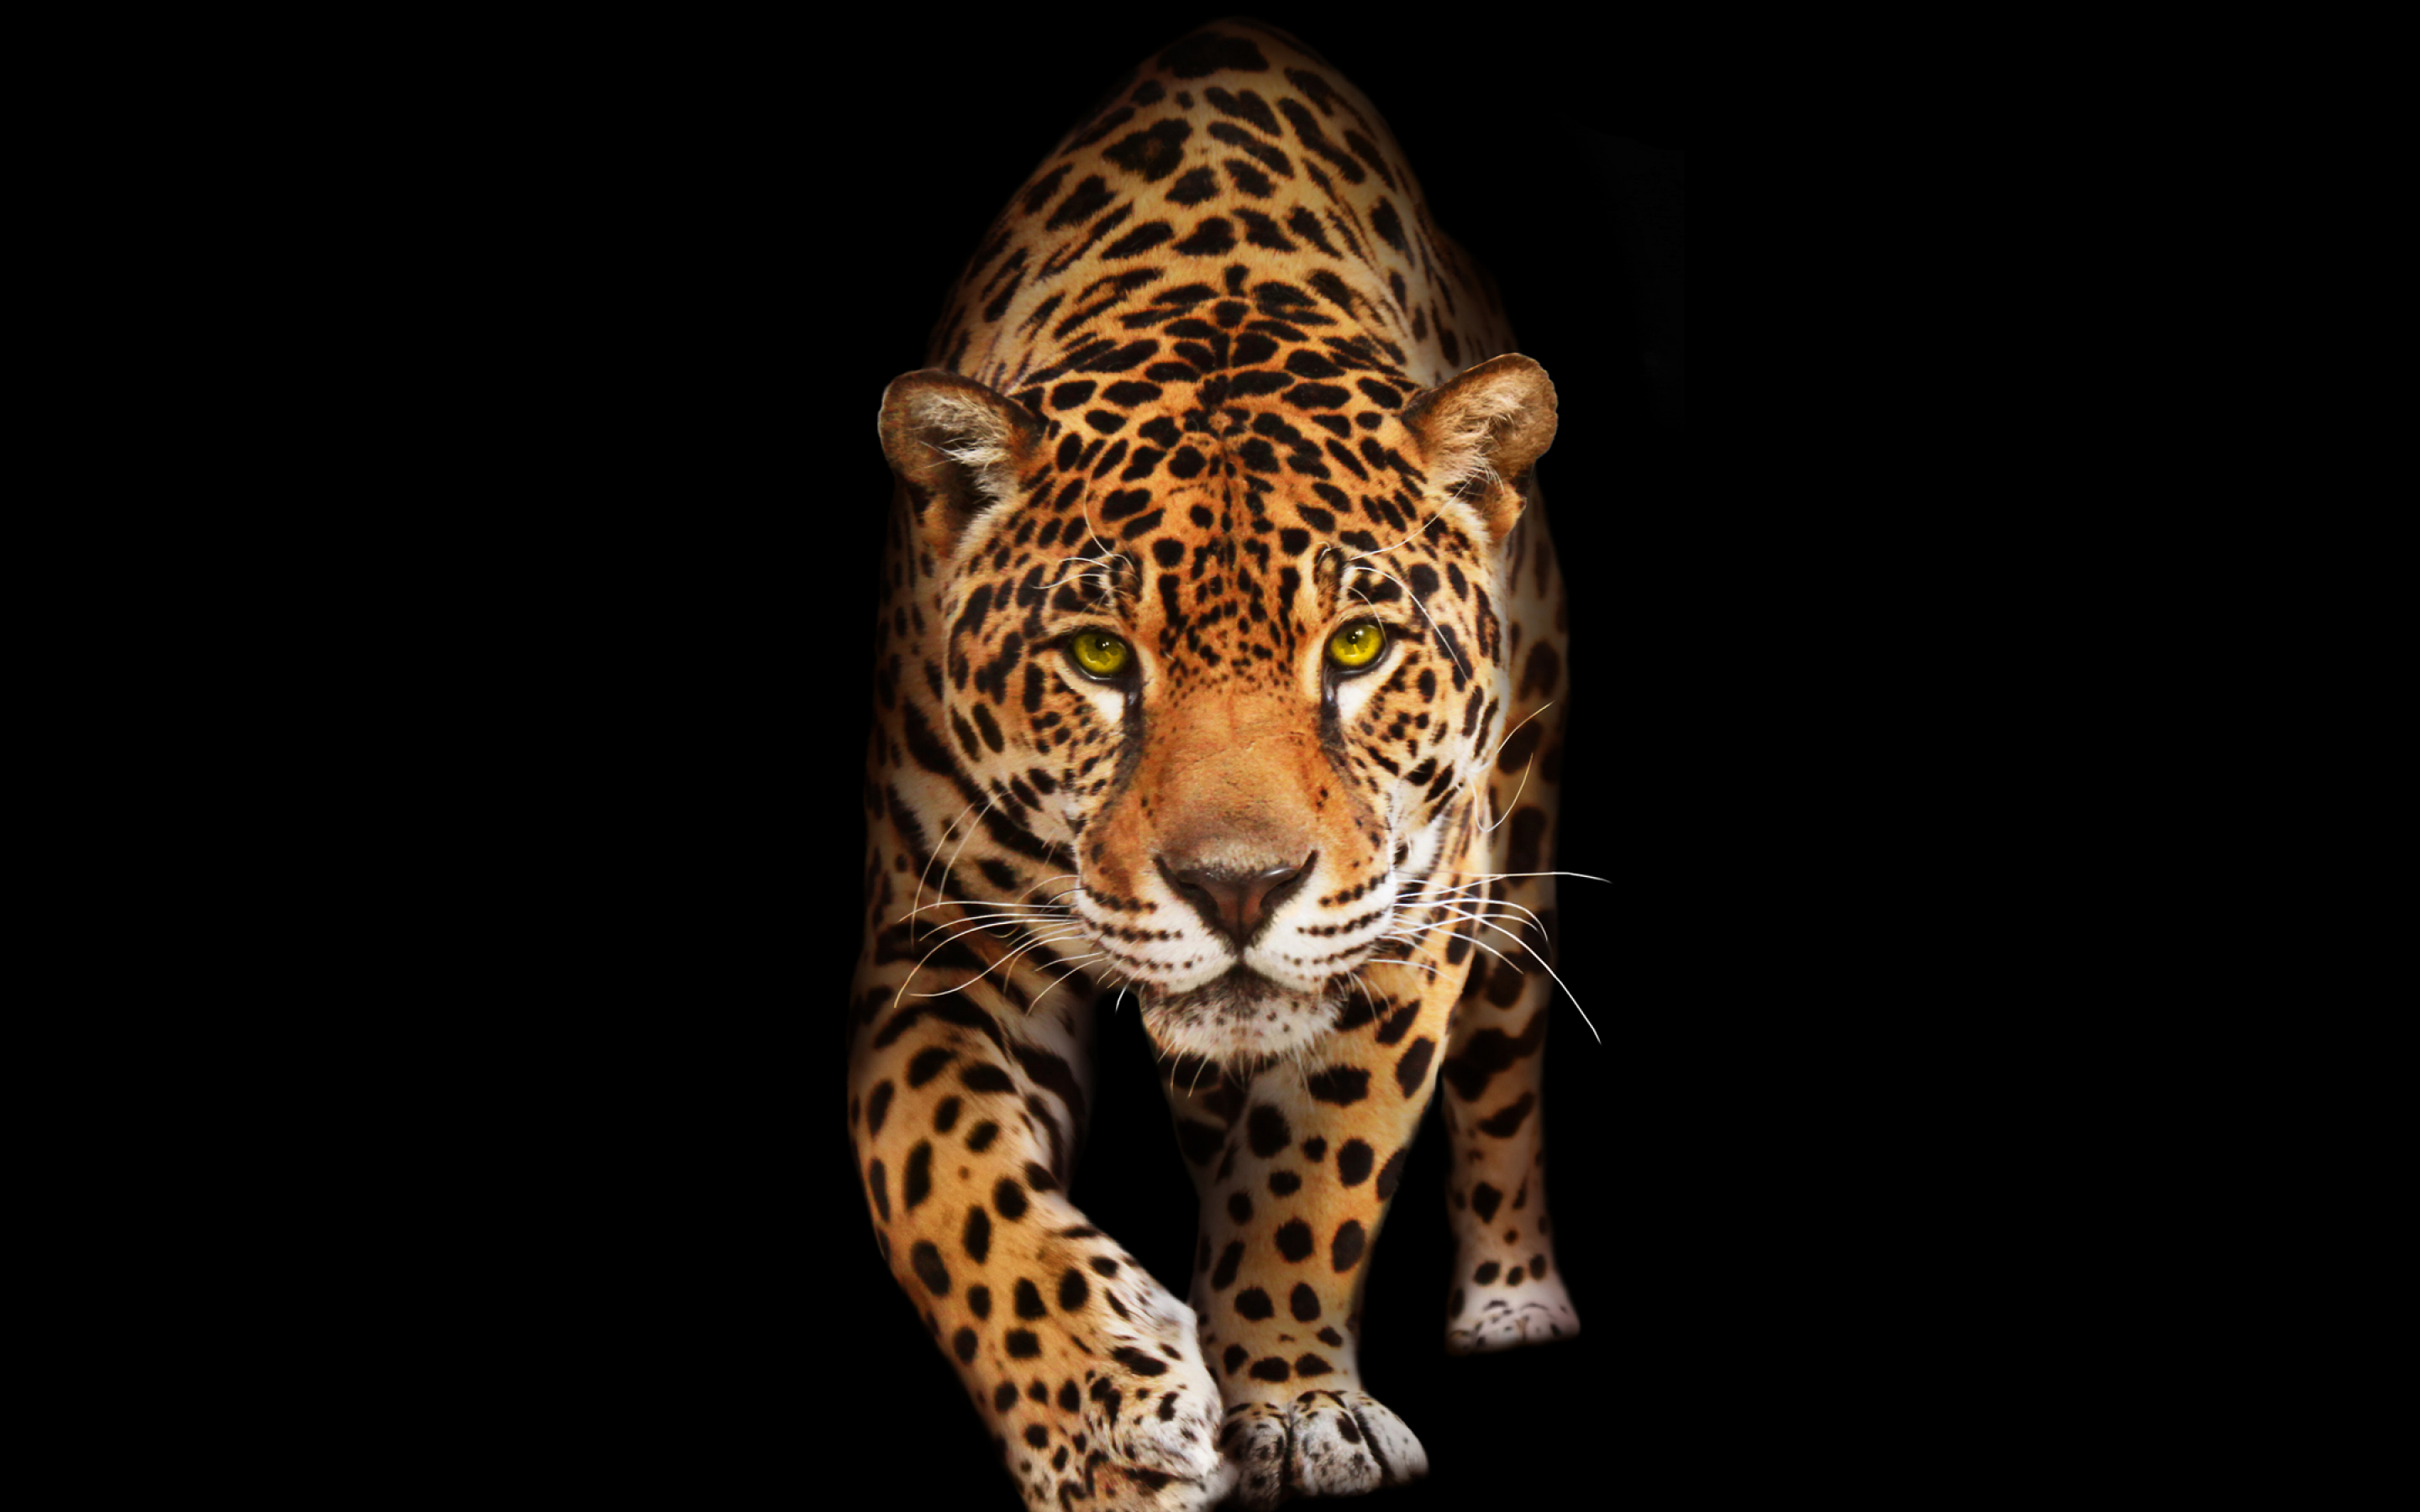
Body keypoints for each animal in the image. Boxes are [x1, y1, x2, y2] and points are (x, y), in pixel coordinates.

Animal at [847, 19, 1581, 1509]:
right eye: (1097, 655)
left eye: (1357, 644)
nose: (1238, 890)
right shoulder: (937, 946)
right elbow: (945, 1178)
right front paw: (1106, 1423)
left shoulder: (1415, 912)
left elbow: (1315, 1169)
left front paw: (1293, 1402)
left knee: (1503, 1070)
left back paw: (1514, 1300)